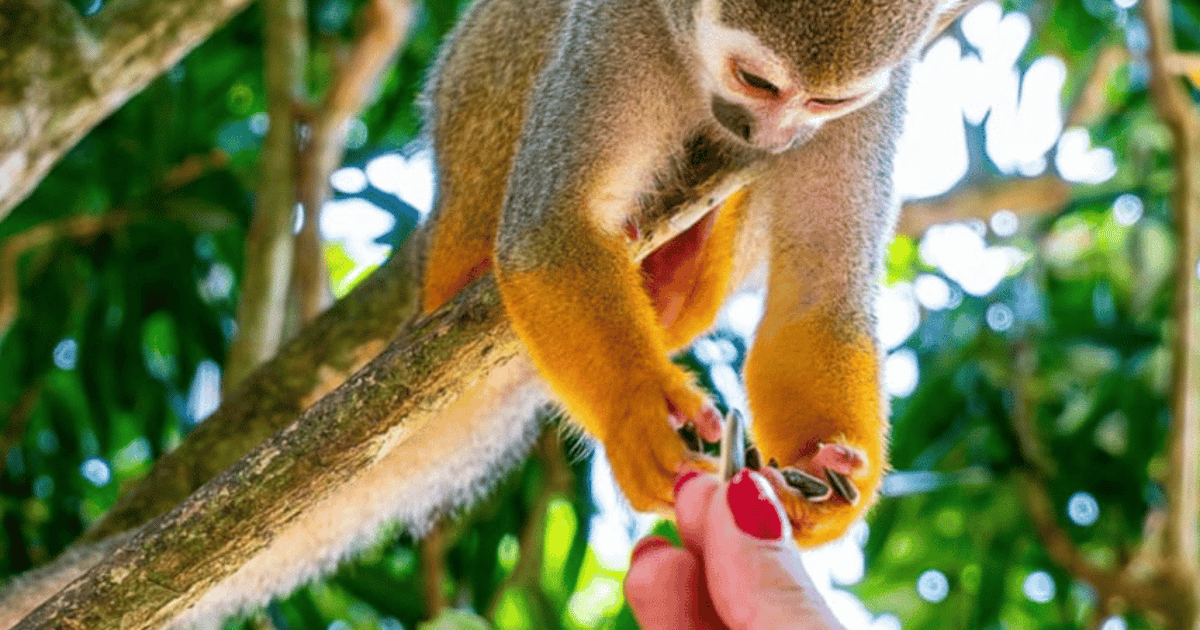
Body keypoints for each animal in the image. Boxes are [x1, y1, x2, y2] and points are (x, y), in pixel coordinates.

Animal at [1, 0, 955, 625]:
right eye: (756, 78)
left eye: (826, 102)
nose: (775, 133)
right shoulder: (619, 28)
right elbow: (545, 234)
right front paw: (640, 413)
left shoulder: (885, 94)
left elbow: (821, 295)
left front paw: (826, 484)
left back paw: (686, 274)